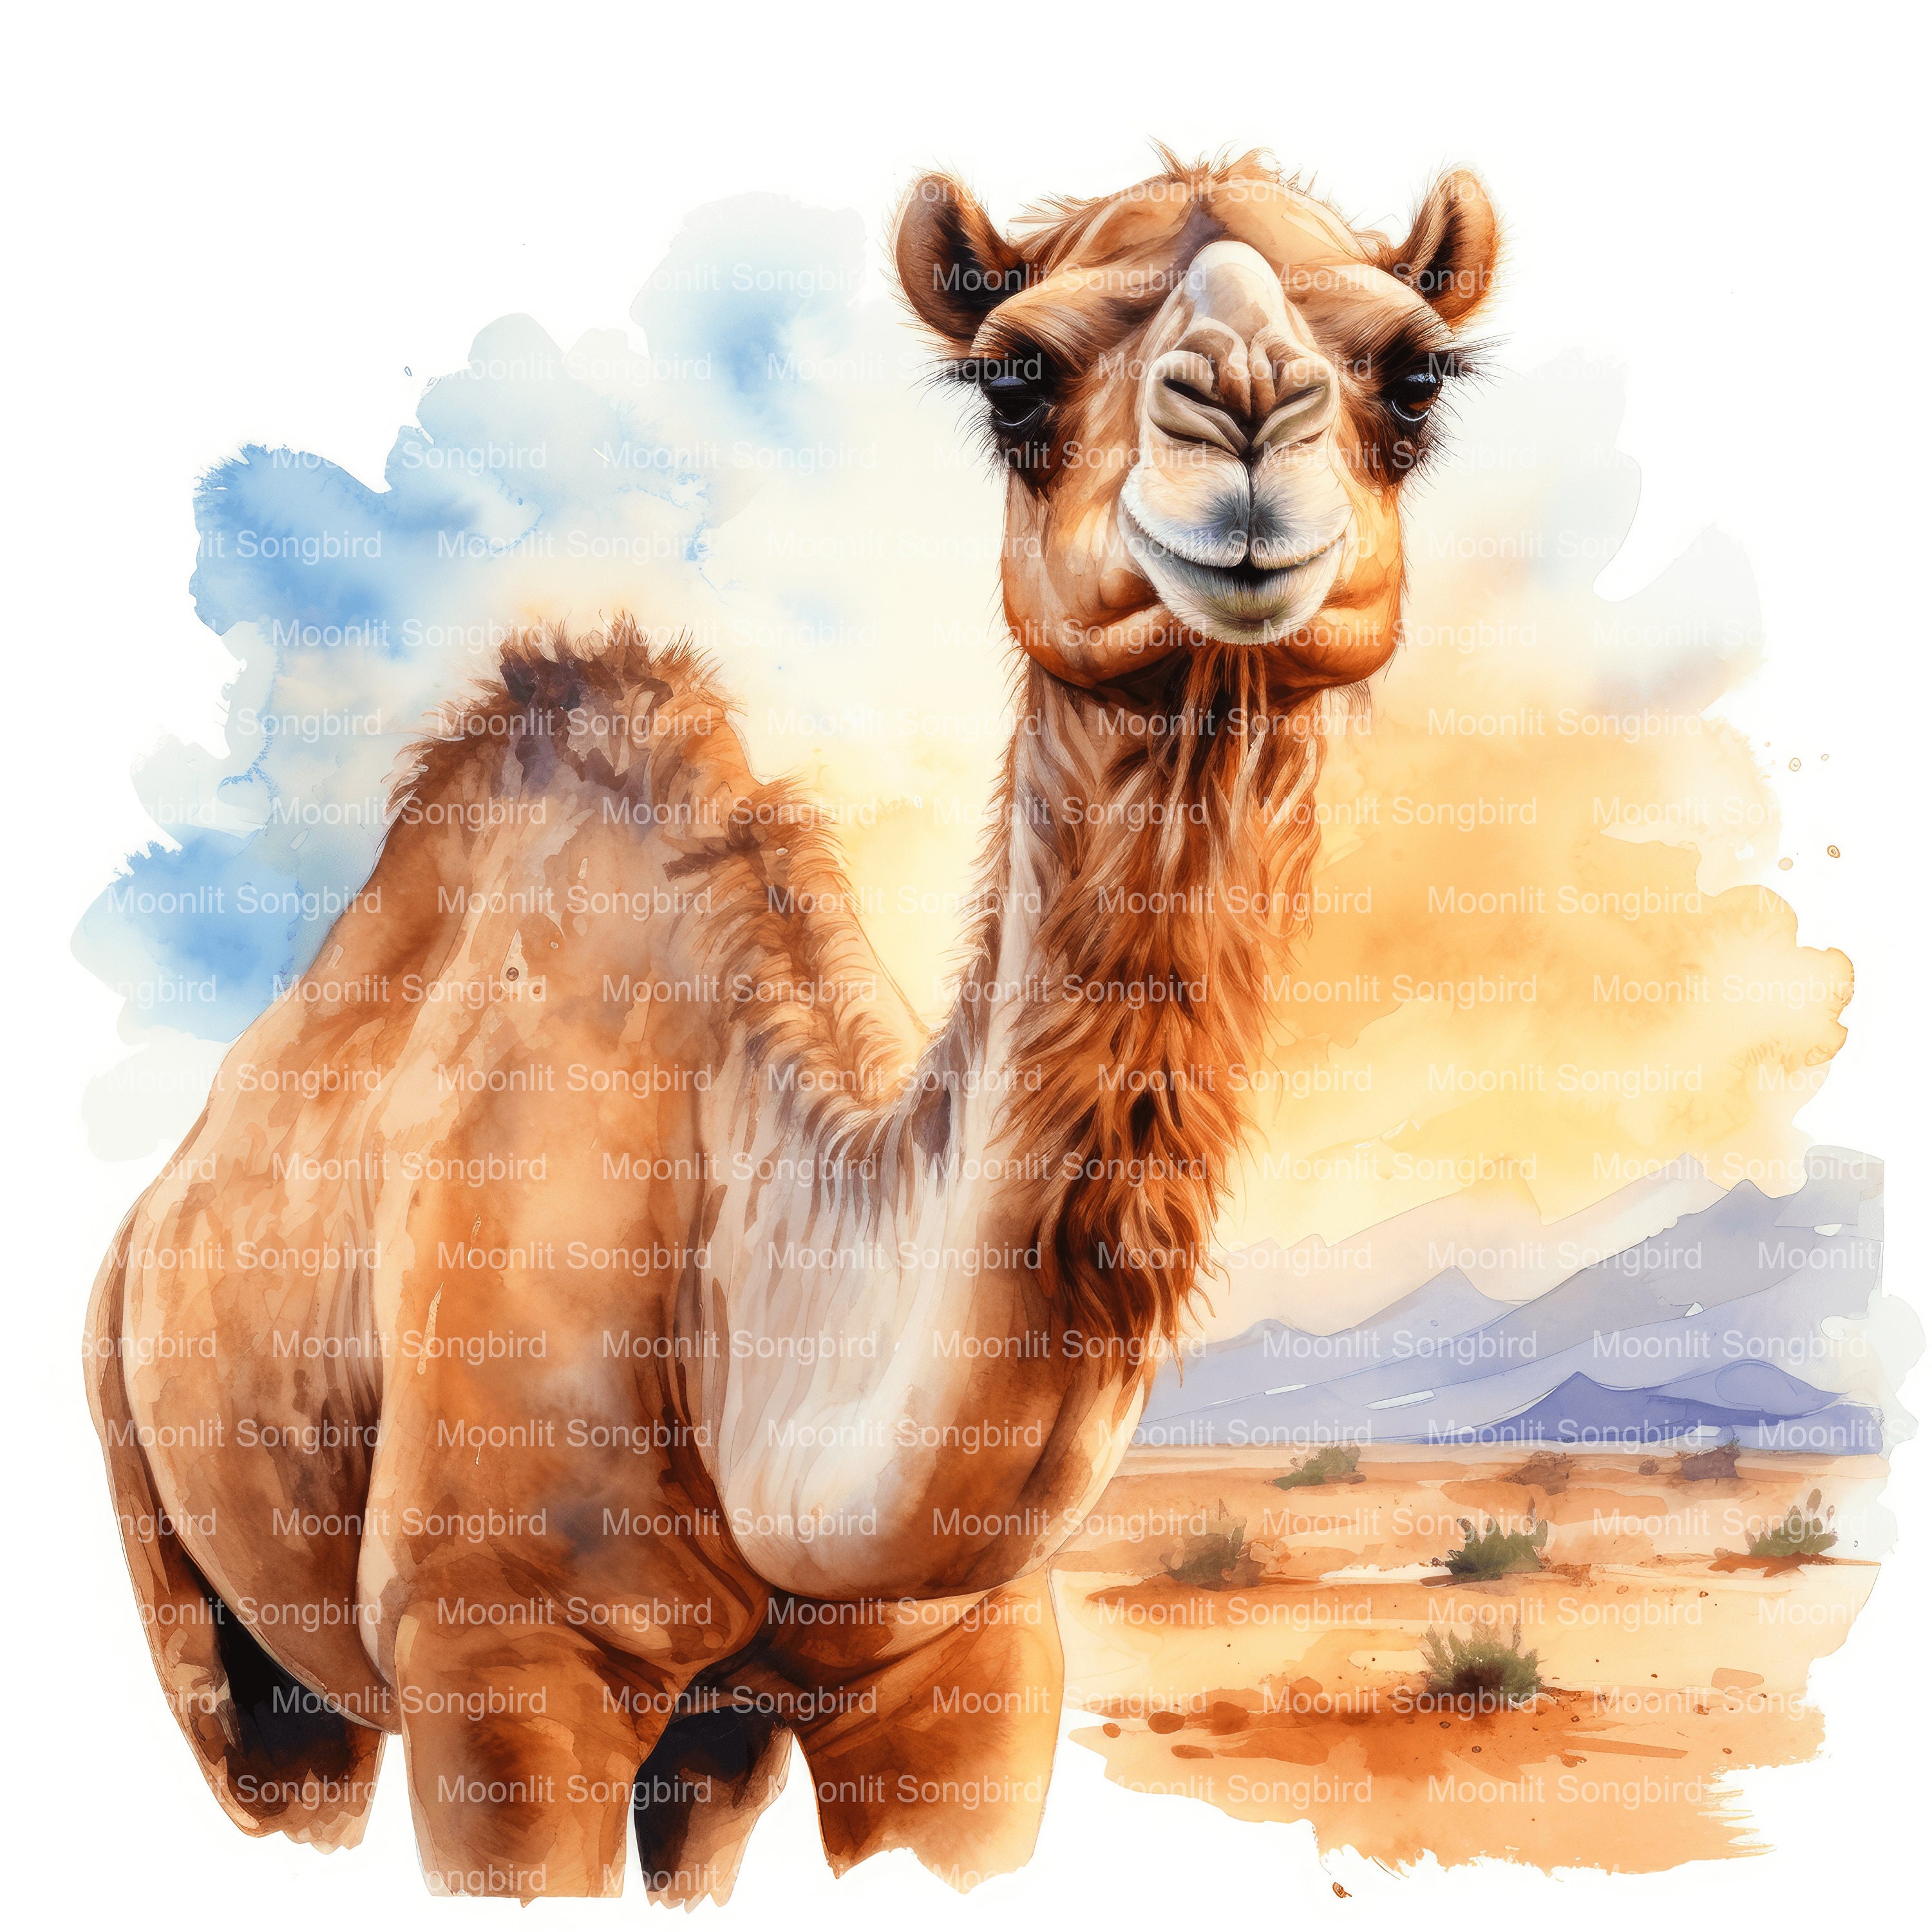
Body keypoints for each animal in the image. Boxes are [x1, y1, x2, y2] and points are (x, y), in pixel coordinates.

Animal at [87, 150, 1499, 1901]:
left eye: (1416, 376)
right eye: (1014, 379)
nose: (1239, 420)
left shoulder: (964, 1667)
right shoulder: (496, 1663)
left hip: (710, 1727)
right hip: (186, 1558)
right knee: (269, 1756)